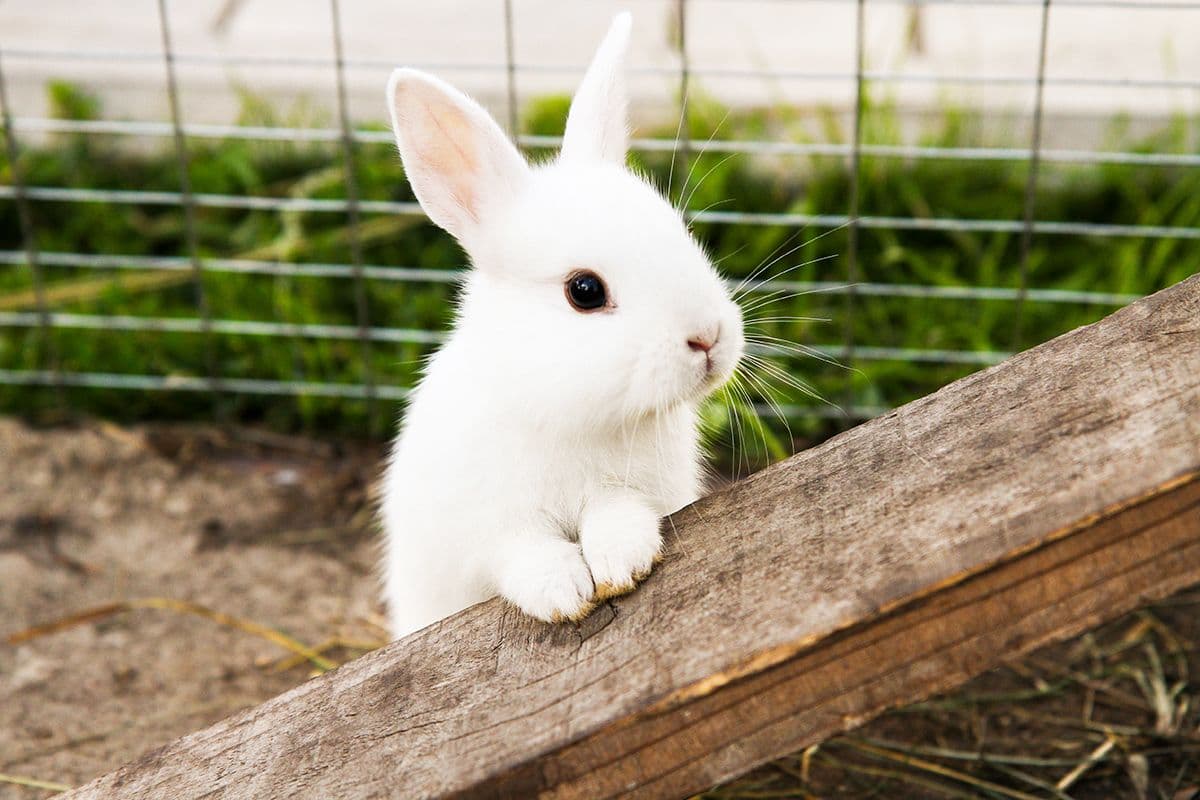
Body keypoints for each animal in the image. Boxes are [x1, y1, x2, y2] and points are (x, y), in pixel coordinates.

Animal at [379, 12, 745, 640]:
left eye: (681, 232)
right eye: (585, 291)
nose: (708, 338)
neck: (572, 414)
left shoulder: (638, 491)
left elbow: (618, 513)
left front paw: (622, 561)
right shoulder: (488, 529)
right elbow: (523, 553)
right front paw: (563, 592)